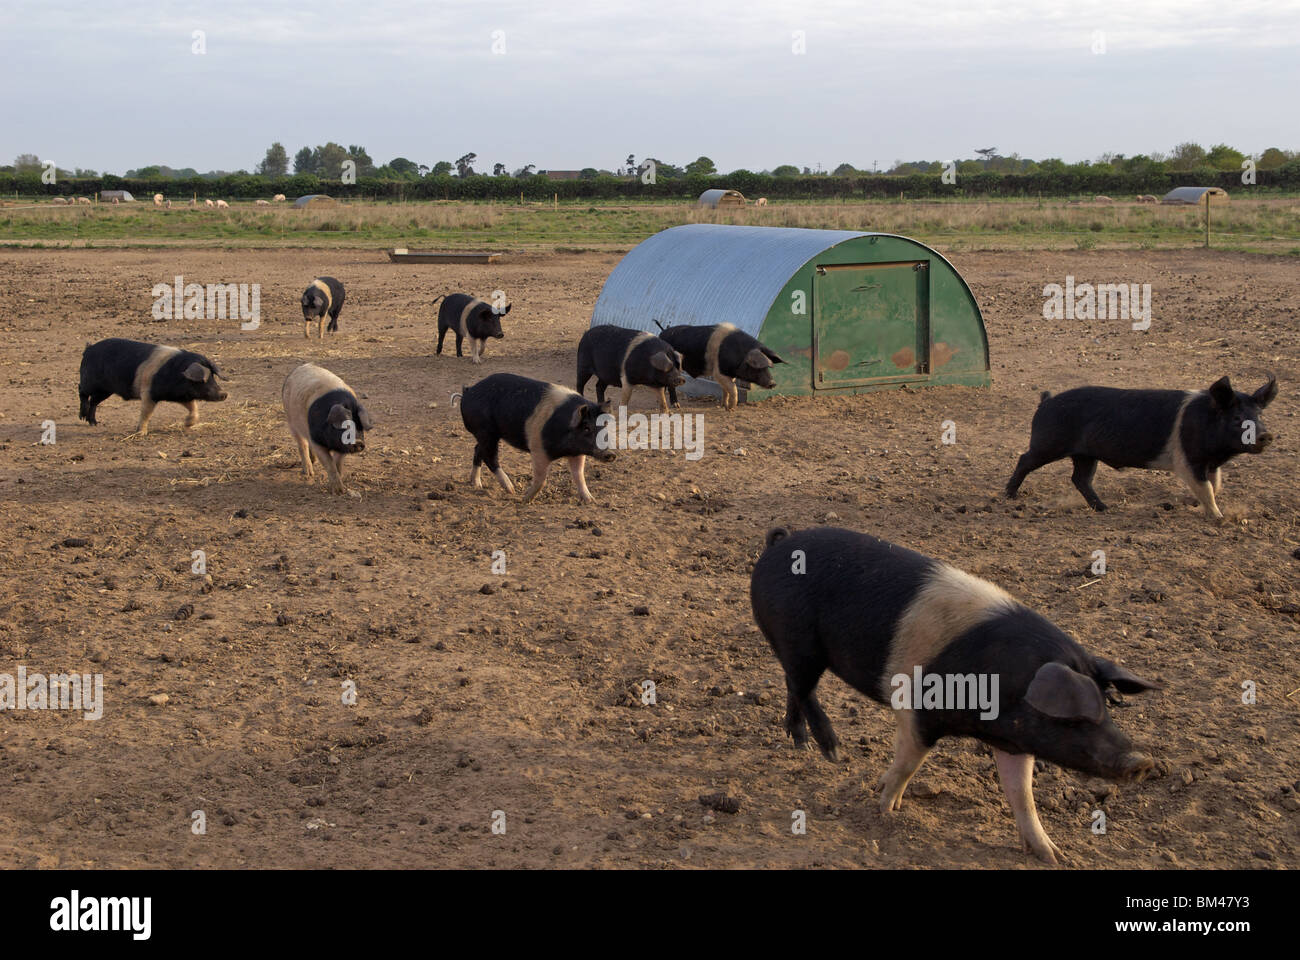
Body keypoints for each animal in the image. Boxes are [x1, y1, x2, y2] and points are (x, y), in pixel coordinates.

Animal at [78, 338, 227, 436]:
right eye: (204, 380)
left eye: (213, 376)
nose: (224, 394)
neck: (175, 373)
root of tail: (89, 348)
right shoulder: (148, 393)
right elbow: (146, 413)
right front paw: (141, 433)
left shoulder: (181, 396)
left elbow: (193, 407)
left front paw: (187, 424)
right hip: (90, 381)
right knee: (82, 391)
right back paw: (82, 417)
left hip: (105, 390)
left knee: (94, 401)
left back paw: (93, 423)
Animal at [282, 363, 373, 495]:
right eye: (345, 426)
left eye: (360, 426)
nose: (359, 442)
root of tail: (299, 368)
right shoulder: (317, 441)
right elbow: (329, 464)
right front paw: (338, 491)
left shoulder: (342, 447)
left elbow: (337, 463)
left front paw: (341, 489)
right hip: (291, 421)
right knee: (302, 444)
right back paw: (308, 473)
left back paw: (313, 461)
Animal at [456, 373, 614, 504]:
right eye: (587, 428)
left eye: (604, 425)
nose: (611, 454)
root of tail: (468, 391)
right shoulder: (538, 449)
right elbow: (541, 479)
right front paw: (525, 499)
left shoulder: (577, 453)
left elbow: (579, 476)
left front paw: (590, 500)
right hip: (486, 431)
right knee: (490, 457)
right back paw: (511, 489)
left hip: (485, 435)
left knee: (478, 449)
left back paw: (476, 484)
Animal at [751, 526, 1160, 864]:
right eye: (1074, 719)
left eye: (1107, 707)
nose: (1142, 761)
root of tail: (778, 544)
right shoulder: (917, 712)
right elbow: (908, 764)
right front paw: (886, 808)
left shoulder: (1016, 740)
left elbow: (1022, 794)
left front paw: (1055, 857)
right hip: (798, 639)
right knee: (802, 686)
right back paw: (833, 752)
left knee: (793, 685)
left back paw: (800, 743)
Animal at [1006, 375, 1277, 521]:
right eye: (1237, 418)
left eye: (1260, 415)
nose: (1266, 435)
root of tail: (1046, 400)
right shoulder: (1188, 459)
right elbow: (1207, 489)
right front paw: (1219, 518)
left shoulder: (1208, 464)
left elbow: (1215, 485)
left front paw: (1194, 504)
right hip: (1048, 444)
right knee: (1024, 460)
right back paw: (1009, 496)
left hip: (1085, 454)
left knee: (1080, 479)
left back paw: (1104, 508)